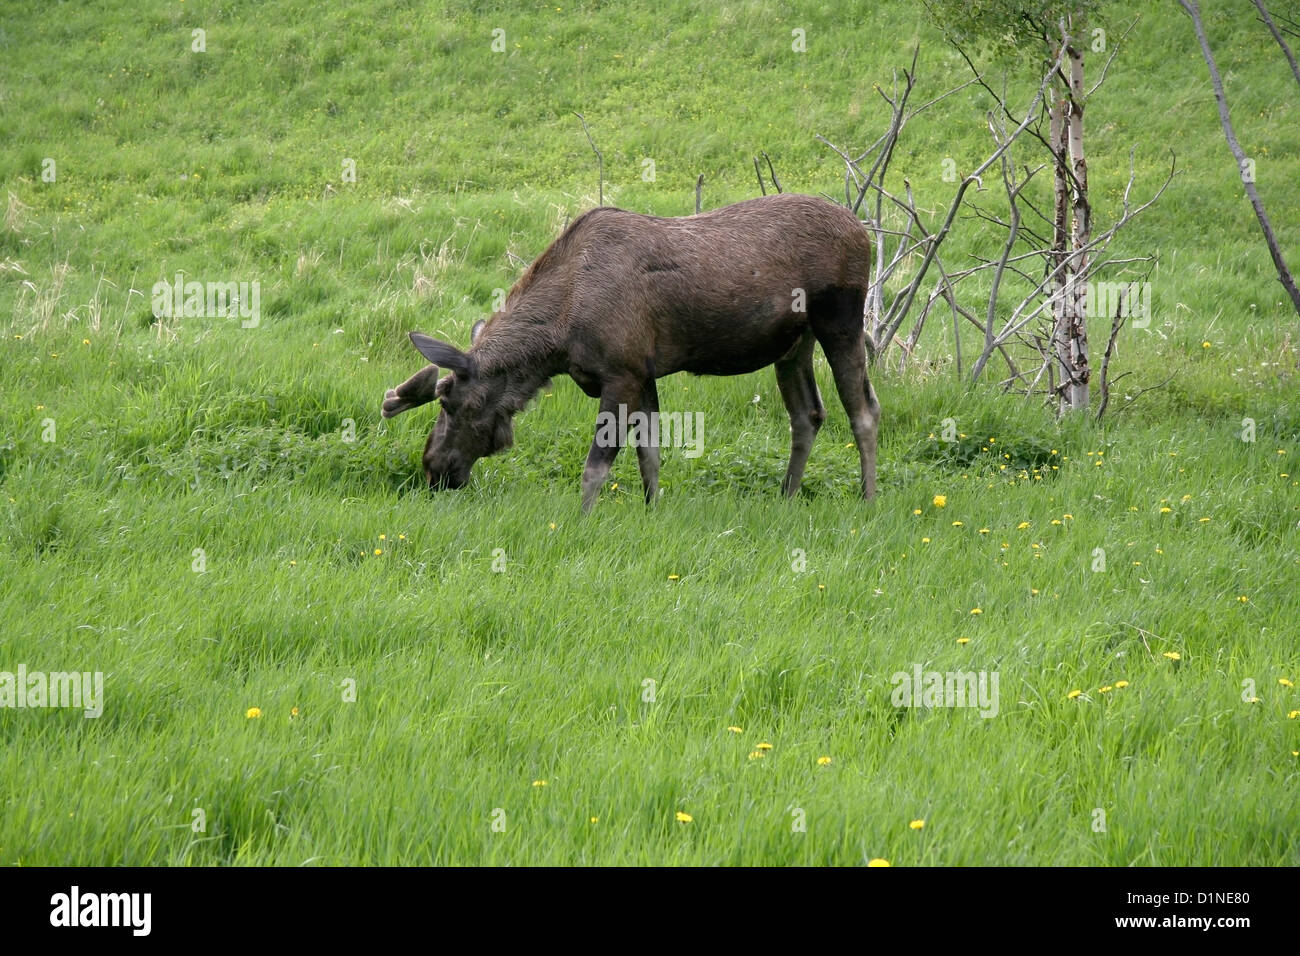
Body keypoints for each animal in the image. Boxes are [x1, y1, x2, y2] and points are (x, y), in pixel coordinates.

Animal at [381, 192, 880, 512]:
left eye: (449, 403)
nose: (433, 469)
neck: (558, 337)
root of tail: (866, 233)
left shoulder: (621, 372)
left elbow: (596, 465)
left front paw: (580, 520)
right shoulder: (645, 372)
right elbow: (650, 453)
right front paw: (651, 510)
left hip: (841, 320)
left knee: (864, 410)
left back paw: (868, 500)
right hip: (793, 345)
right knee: (808, 415)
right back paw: (787, 497)